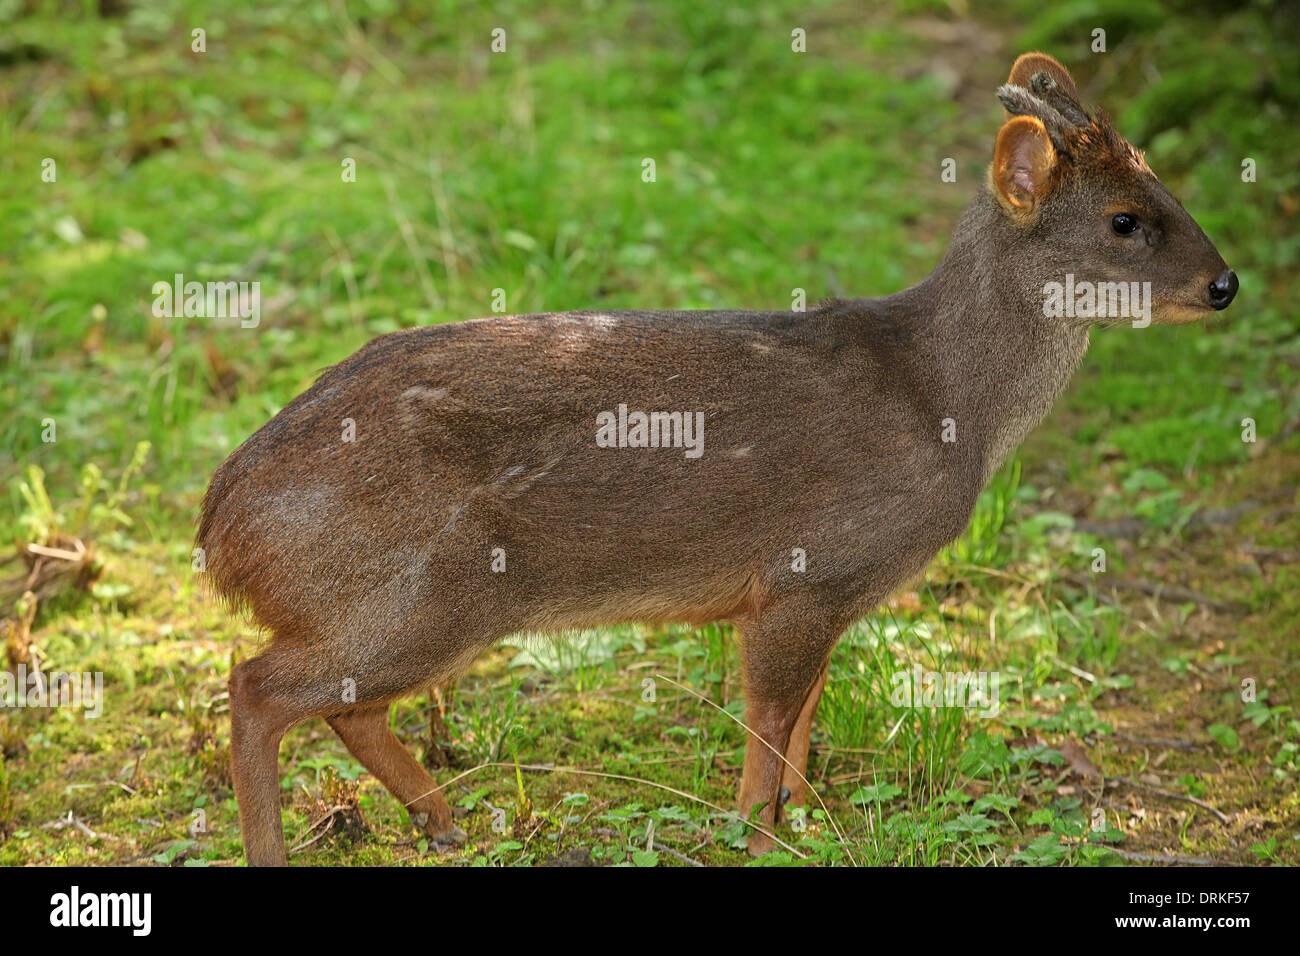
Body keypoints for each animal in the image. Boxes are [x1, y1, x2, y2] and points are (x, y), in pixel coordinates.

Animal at [198, 53, 1238, 865]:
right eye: (1124, 220)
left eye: (1167, 187)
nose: (1227, 283)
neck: (946, 405)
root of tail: (220, 523)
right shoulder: (801, 573)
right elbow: (769, 722)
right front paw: (756, 835)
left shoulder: (830, 592)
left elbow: (805, 722)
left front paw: (809, 823)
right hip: (421, 593)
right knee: (255, 688)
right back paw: (286, 846)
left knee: (339, 706)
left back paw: (445, 820)